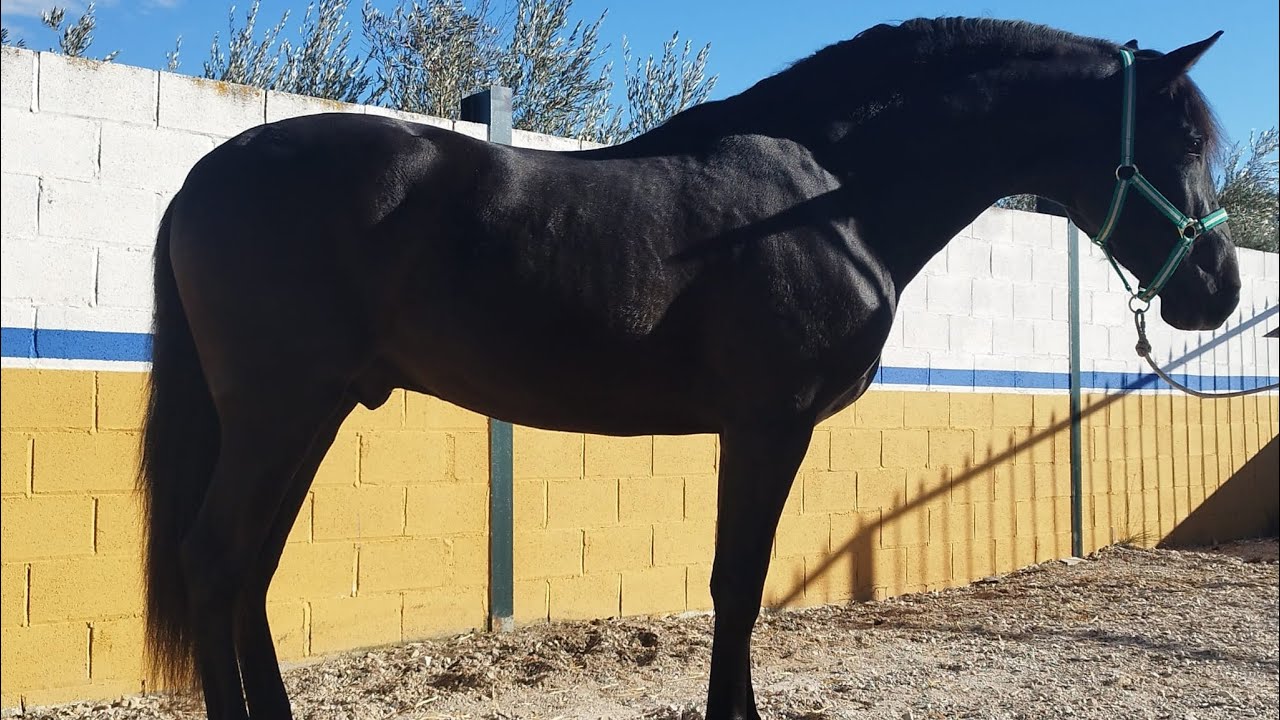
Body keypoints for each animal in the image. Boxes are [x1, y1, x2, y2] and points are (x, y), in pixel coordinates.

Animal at [138, 17, 1239, 720]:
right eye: (1180, 135)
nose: (1218, 290)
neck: (831, 192)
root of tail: (199, 175)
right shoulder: (766, 424)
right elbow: (736, 585)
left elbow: (737, 588)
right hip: (278, 414)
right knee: (216, 560)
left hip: (310, 415)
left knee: (249, 572)